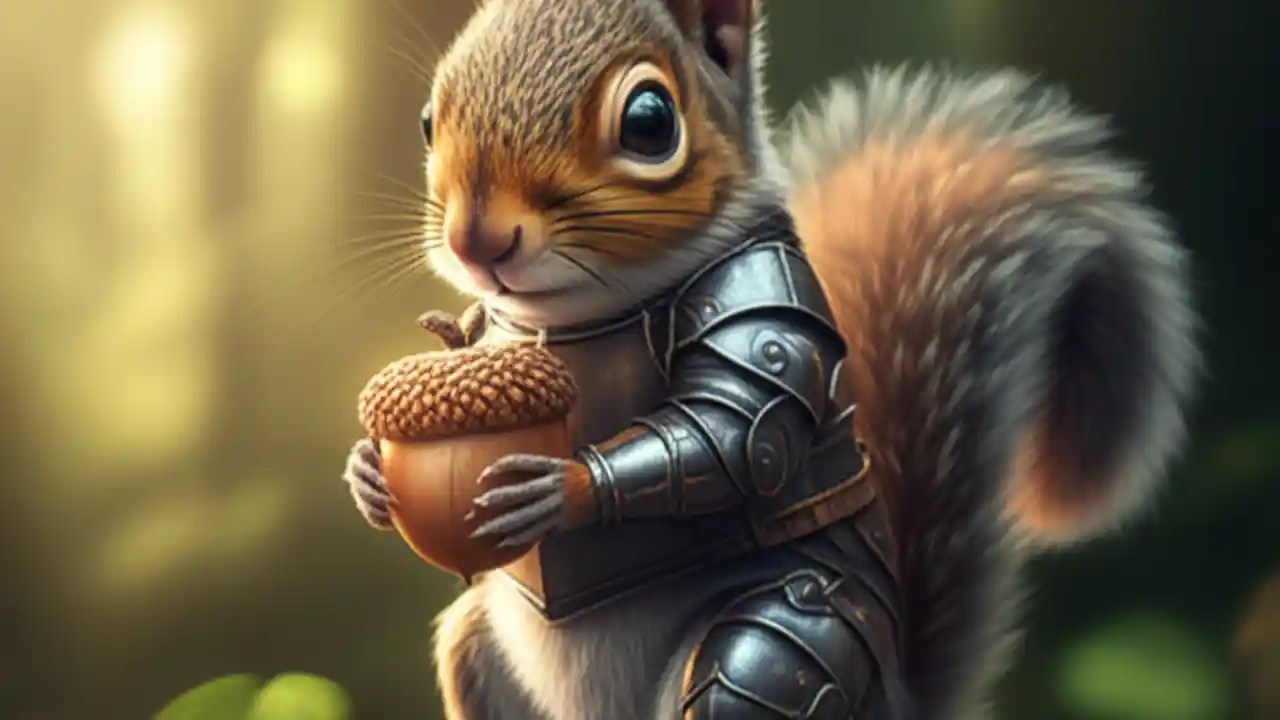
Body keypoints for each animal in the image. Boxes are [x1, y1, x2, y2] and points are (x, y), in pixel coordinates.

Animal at [341, 1, 1198, 718]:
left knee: (744, 682)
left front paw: (565, 487)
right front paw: (368, 474)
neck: (564, 315)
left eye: (649, 121)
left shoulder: (763, 296)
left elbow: (736, 436)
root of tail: (901, 701)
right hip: (481, 655)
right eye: (427, 120)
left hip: (789, 641)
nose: (475, 240)